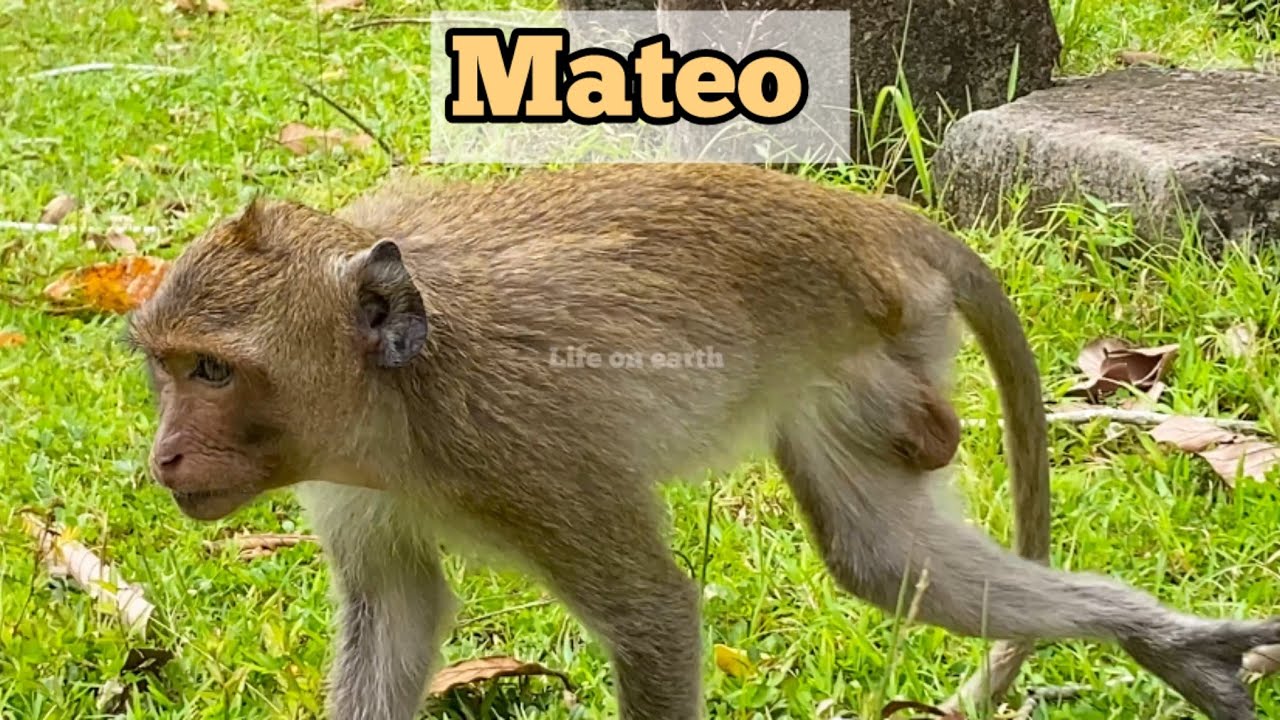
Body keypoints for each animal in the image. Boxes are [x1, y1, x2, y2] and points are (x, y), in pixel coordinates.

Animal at [127, 163, 1278, 720]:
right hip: (850, 375)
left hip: (878, 343)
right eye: (166, 368)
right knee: (888, 562)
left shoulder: (527, 453)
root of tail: (874, 221)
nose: (163, 459)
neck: (394, 401)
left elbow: (654, 617)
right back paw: (1160, 639)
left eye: (213, 372)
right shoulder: (352, 487)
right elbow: (397, 618)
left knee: (888, 533)